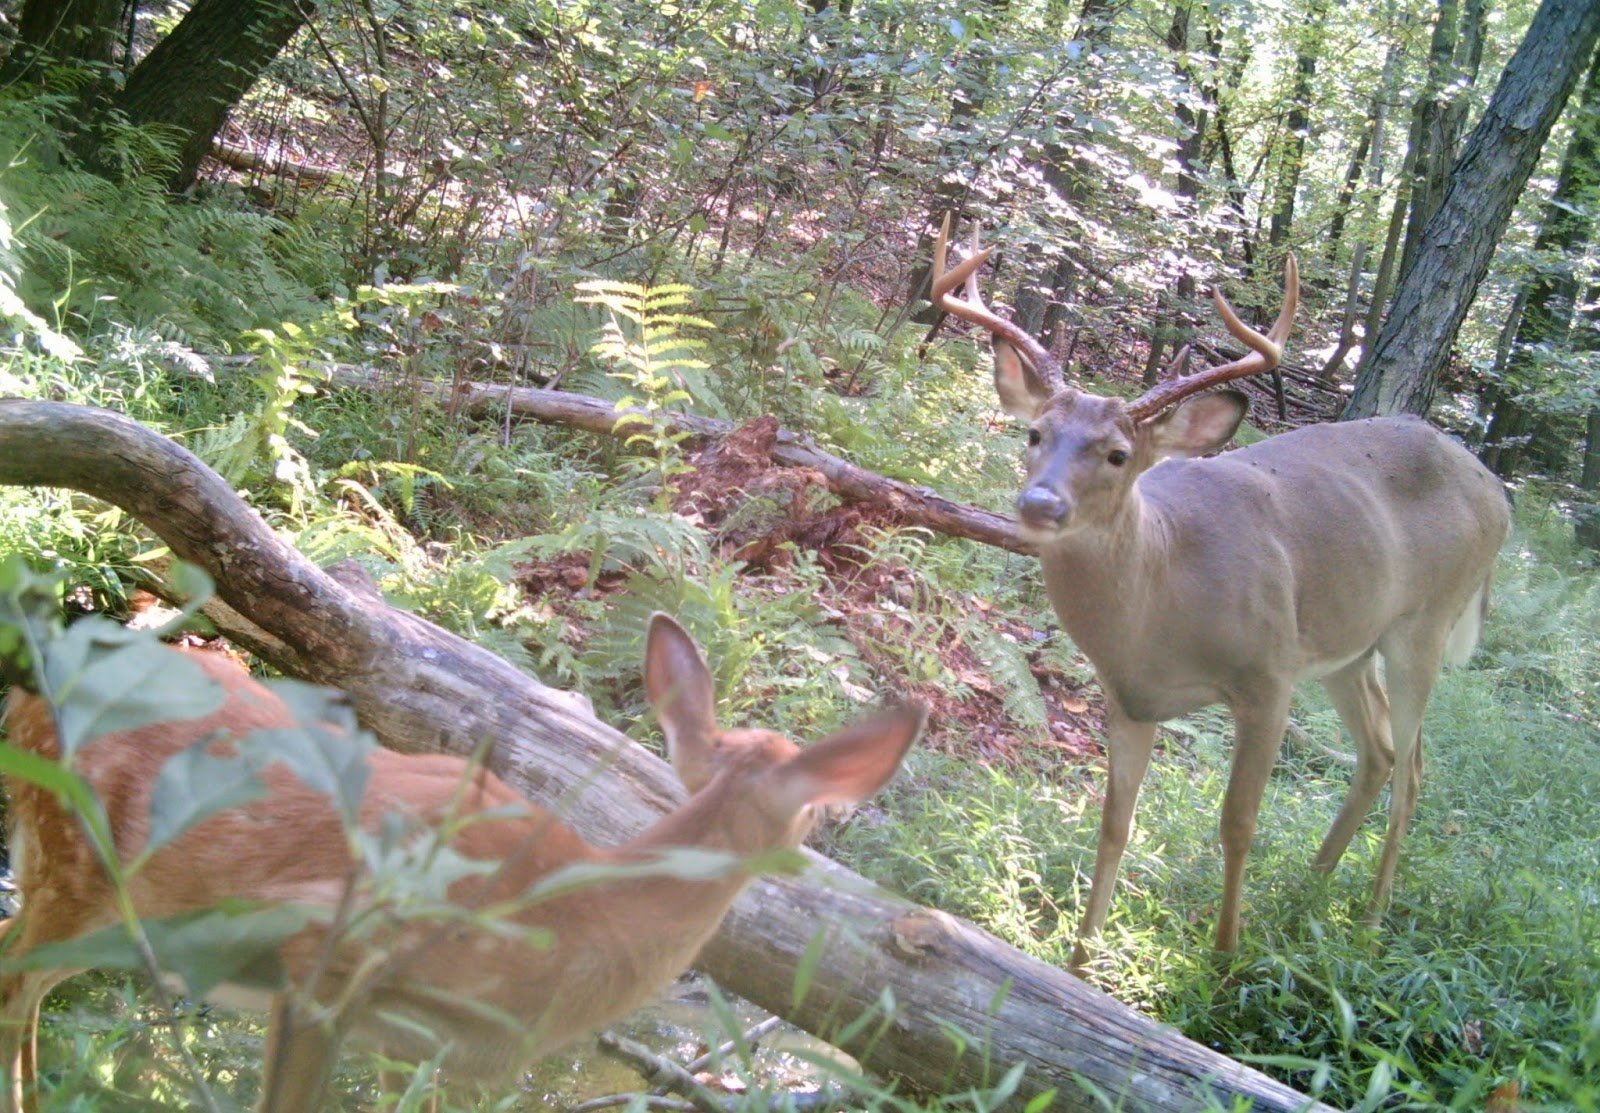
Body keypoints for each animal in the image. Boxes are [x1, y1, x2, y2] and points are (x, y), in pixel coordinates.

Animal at [0, 614, 925, 1112]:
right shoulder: (331, 957)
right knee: (15, 977)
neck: (574, 922)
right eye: (815, 815)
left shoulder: (420, 1043)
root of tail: (24, 696)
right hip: (77, 862)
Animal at [930, 215, 1509, 965]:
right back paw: (1310, 886)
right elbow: (1115, 823)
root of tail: (1497, 490)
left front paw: (1225, 956)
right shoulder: (1129, 697)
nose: (1040, 504)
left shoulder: (1268, 675)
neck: (1163, 599)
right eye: (1035, 433)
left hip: (1424, 625)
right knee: (1379, 752)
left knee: (1414, 771)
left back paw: (1371, 918)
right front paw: (1082, 955)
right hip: (1349, 646)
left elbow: (1238, 820)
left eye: (1118, 454)